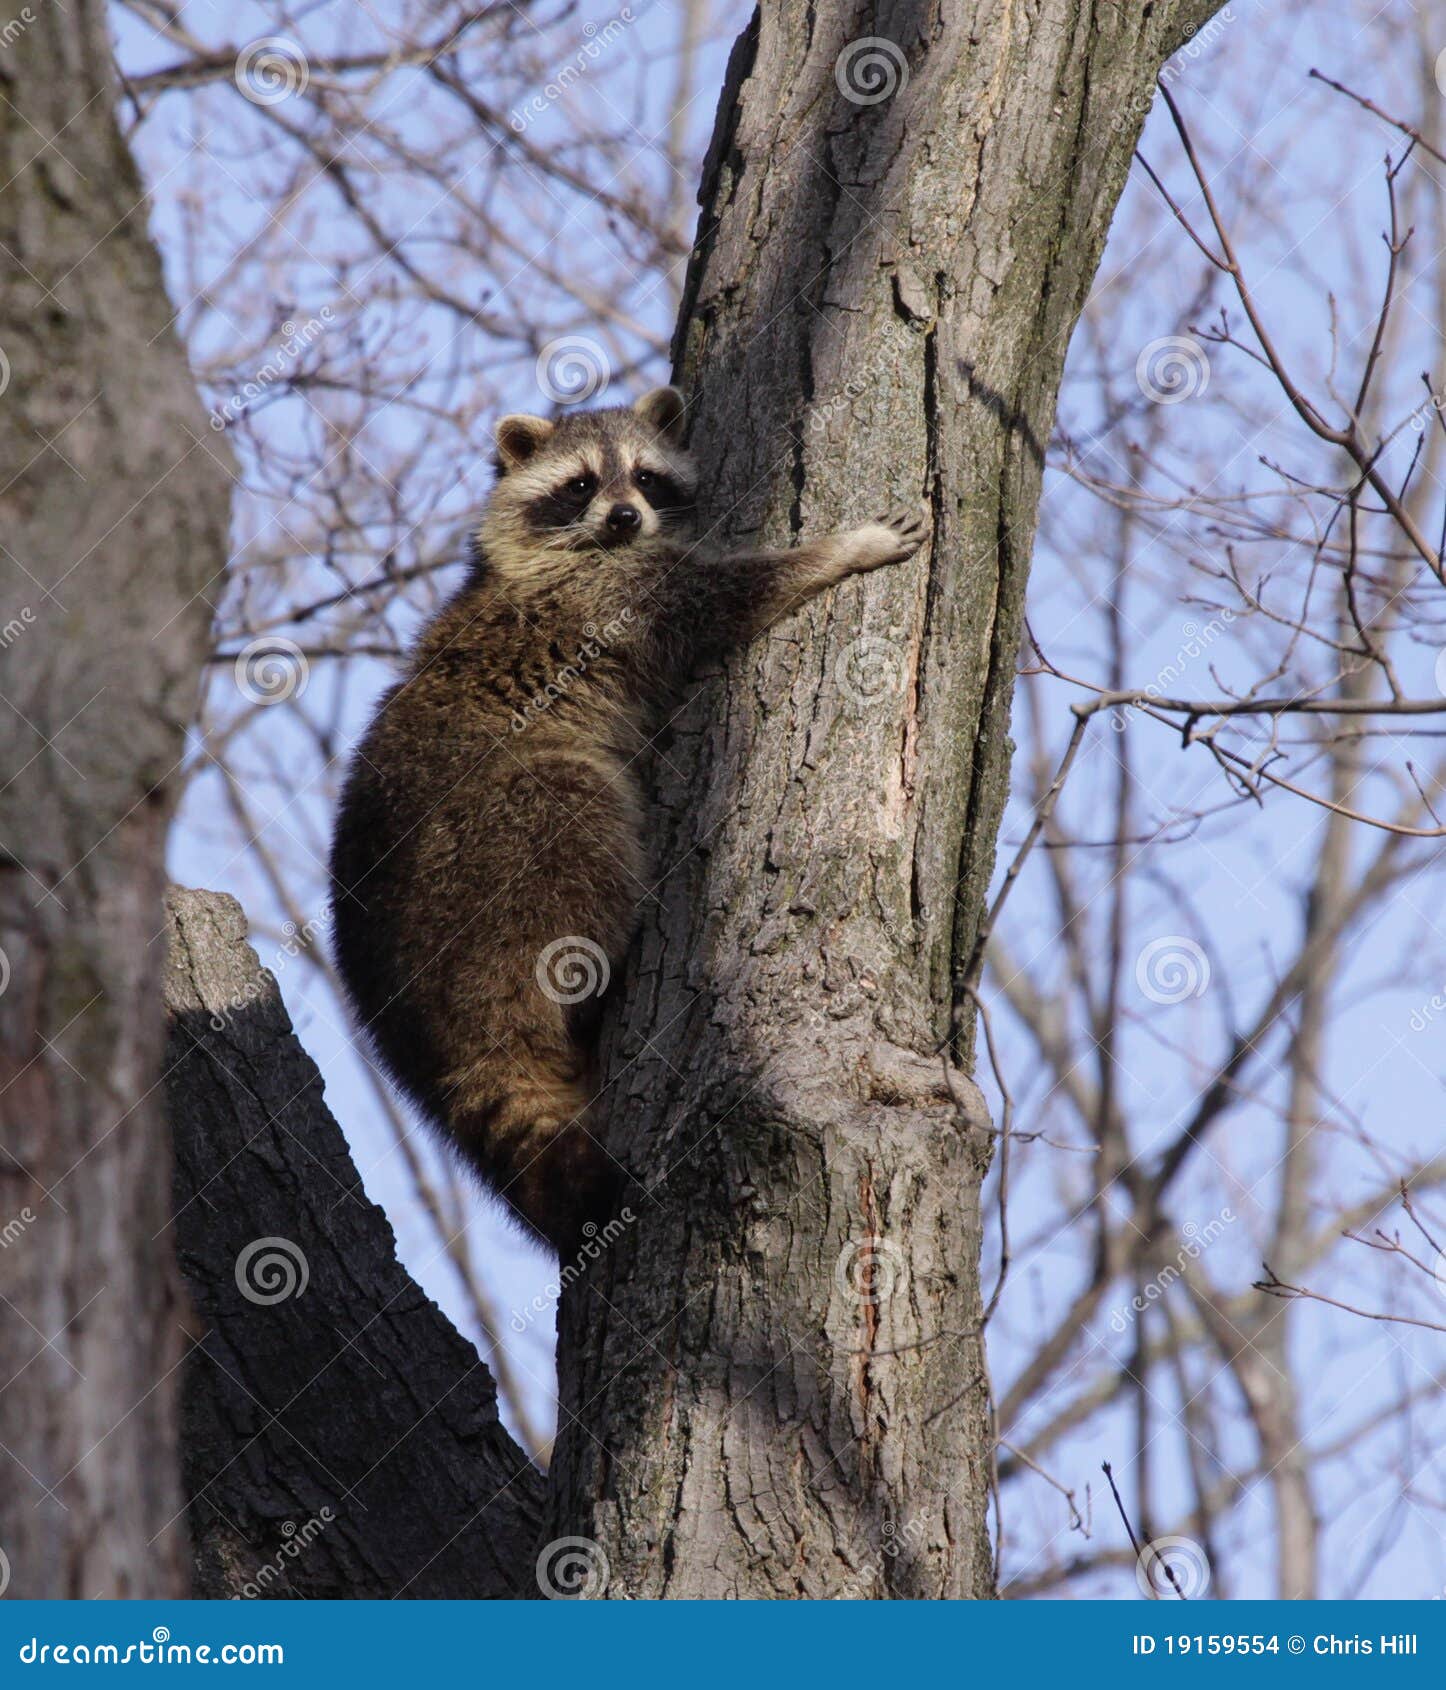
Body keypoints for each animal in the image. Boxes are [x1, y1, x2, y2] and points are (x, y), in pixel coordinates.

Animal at [328, 386, 926, 1253]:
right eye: (580, 484)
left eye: (644, 476)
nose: (623, 517)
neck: (583, 551)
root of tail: (432, 1028)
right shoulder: (618, 598)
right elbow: (729, 596)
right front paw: (843, 549)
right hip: (497, 846)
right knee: (573, 814)